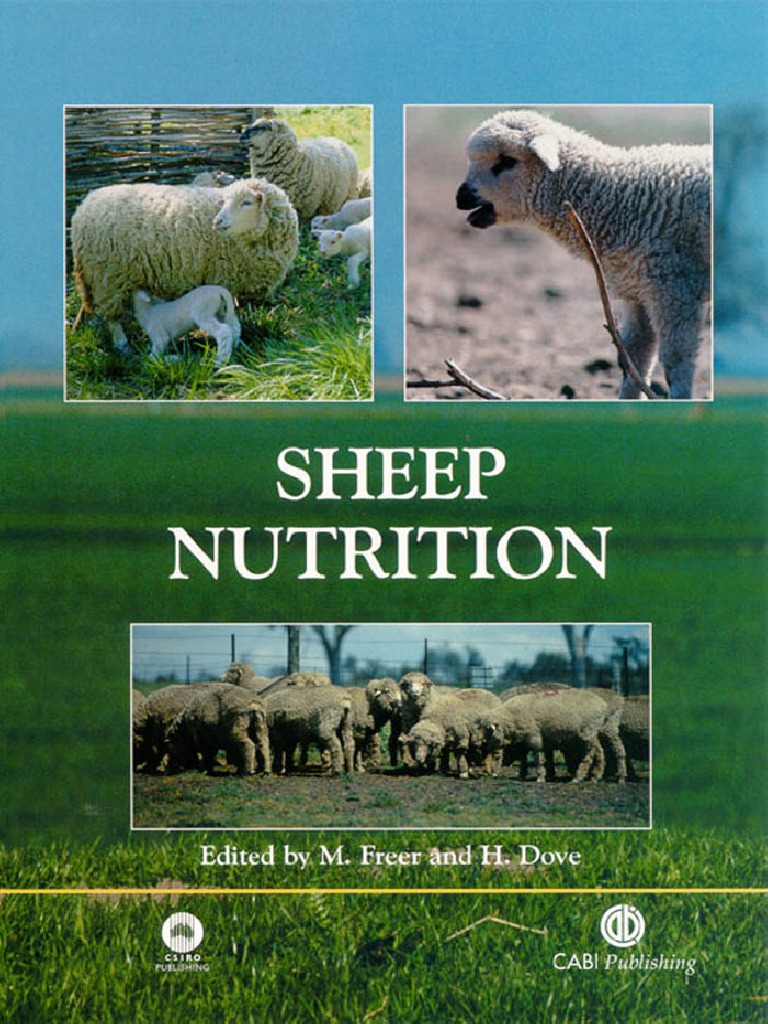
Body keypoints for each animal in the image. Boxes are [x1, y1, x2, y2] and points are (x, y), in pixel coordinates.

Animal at [71, 177, 298, 354]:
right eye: (224, 202)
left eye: (247, 202)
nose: (217, 221)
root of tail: (85, 204)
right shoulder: (222, 275)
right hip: (108, 276)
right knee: (112, 317)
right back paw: (122, 345)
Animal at [456, 109, 711, 399]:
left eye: (507, 161)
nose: (460, 197)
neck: (622, 198)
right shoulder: (637, 290)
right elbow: (634, 358)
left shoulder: (675, 287)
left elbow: (676, 360)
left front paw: (681, 398)